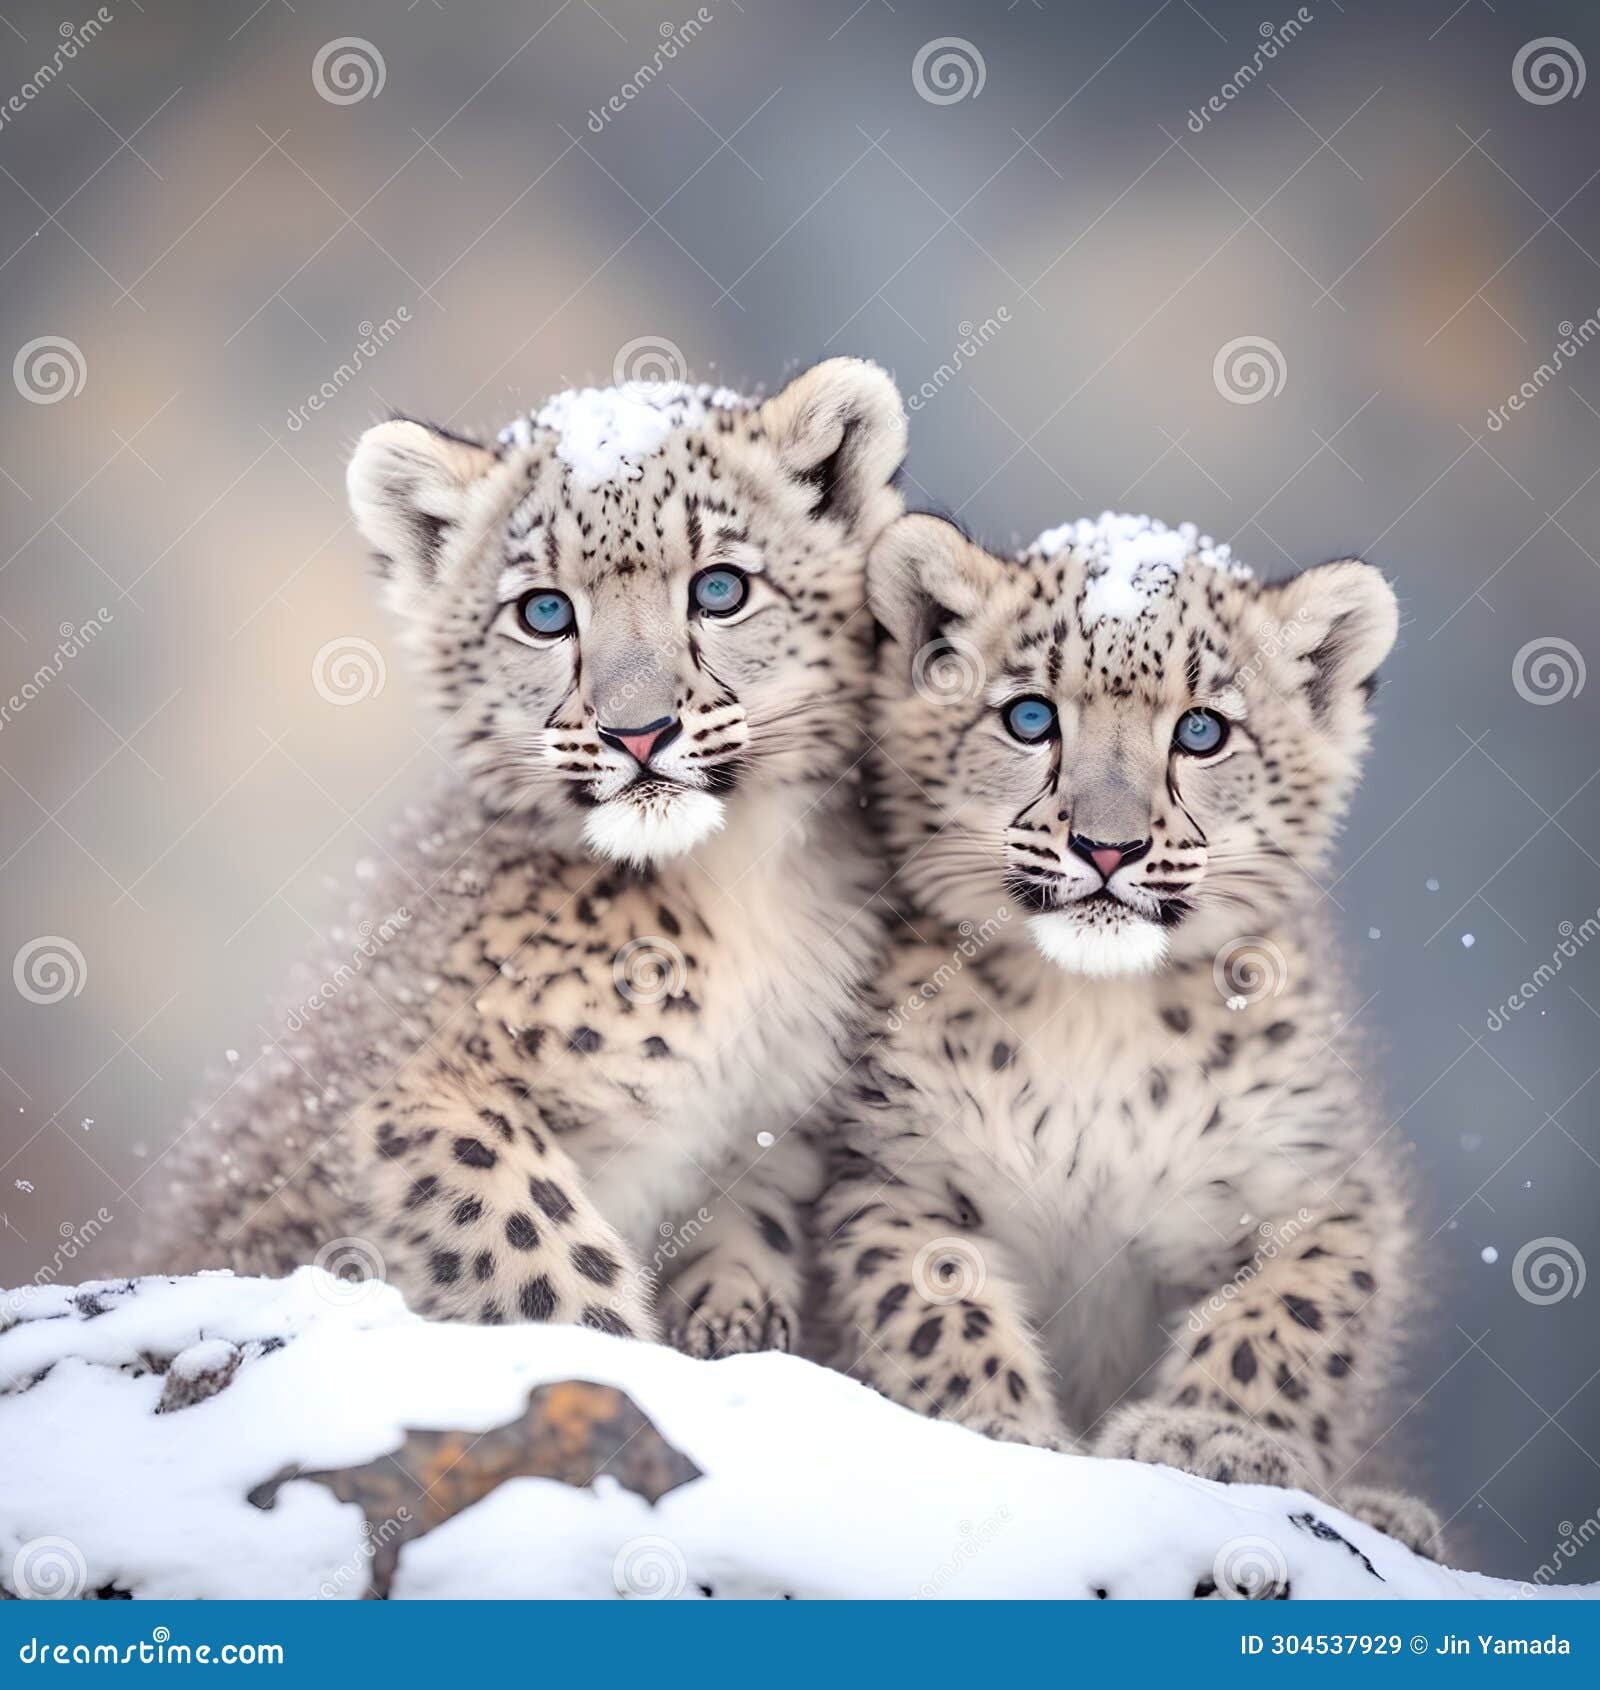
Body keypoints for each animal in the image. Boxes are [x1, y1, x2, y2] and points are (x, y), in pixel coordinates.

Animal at [132, 358, 907, 1357]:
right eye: (543, 611)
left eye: (721, 588)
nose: (638, 729)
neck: (742, 893)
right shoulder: (414, 1095)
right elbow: (530, 1236)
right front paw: (610, 1339)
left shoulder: (773, 1113)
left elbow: (752, 1221)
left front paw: (733, 1318)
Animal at [816, 507, 1446, 1559]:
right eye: (1030, 716)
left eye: (1202, 729)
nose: (1107, 846)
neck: (1095, 1018)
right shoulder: (895, 1169)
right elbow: (928, 1302)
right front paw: (998, 1430)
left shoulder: (1310, 1178)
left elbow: (1290, 1312)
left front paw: (1213, 1435)